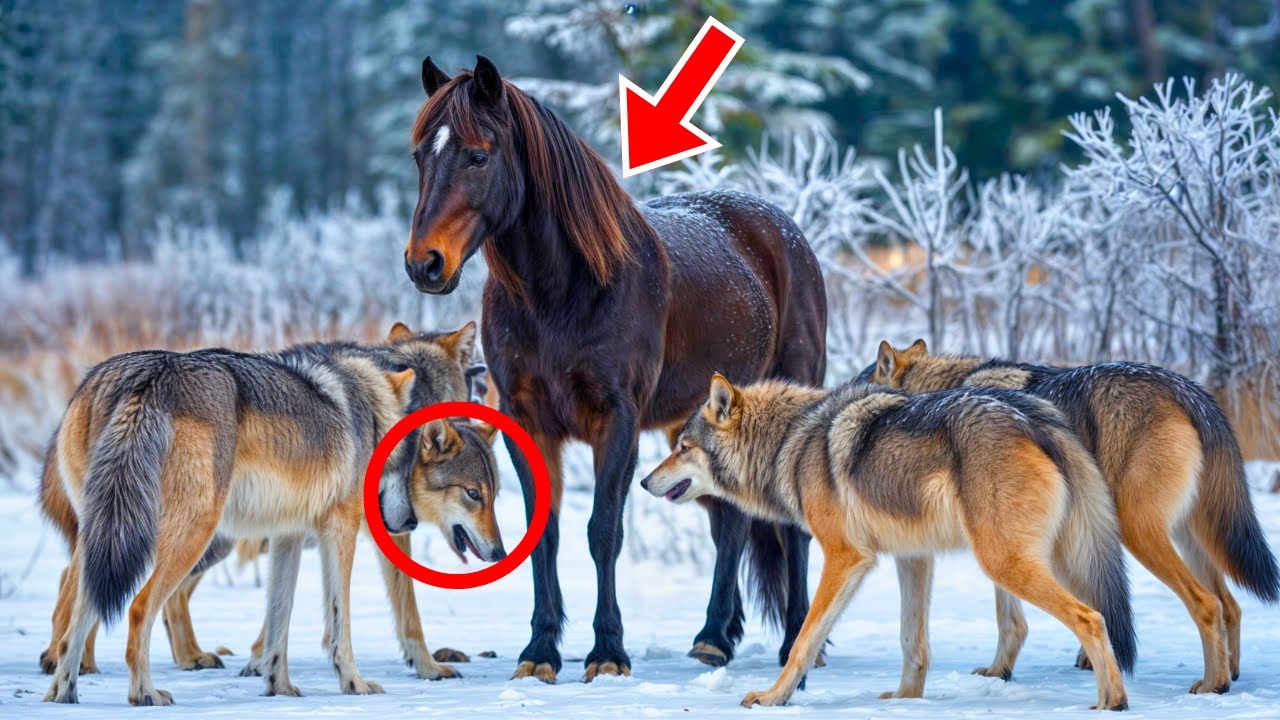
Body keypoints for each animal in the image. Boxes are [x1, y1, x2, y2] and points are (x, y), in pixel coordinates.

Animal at [404, 55, 827, 683]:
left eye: (478, 155)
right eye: (419, 156)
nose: (424, 265)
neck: (565, 292)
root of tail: (781, 230)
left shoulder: (618, 420)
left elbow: (603, 530)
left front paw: (607, 651)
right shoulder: (528, 421)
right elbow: (546, 533)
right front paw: (540, 650)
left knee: (787, 527)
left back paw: (797, 641)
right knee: (728, 523)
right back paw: (713, 638)